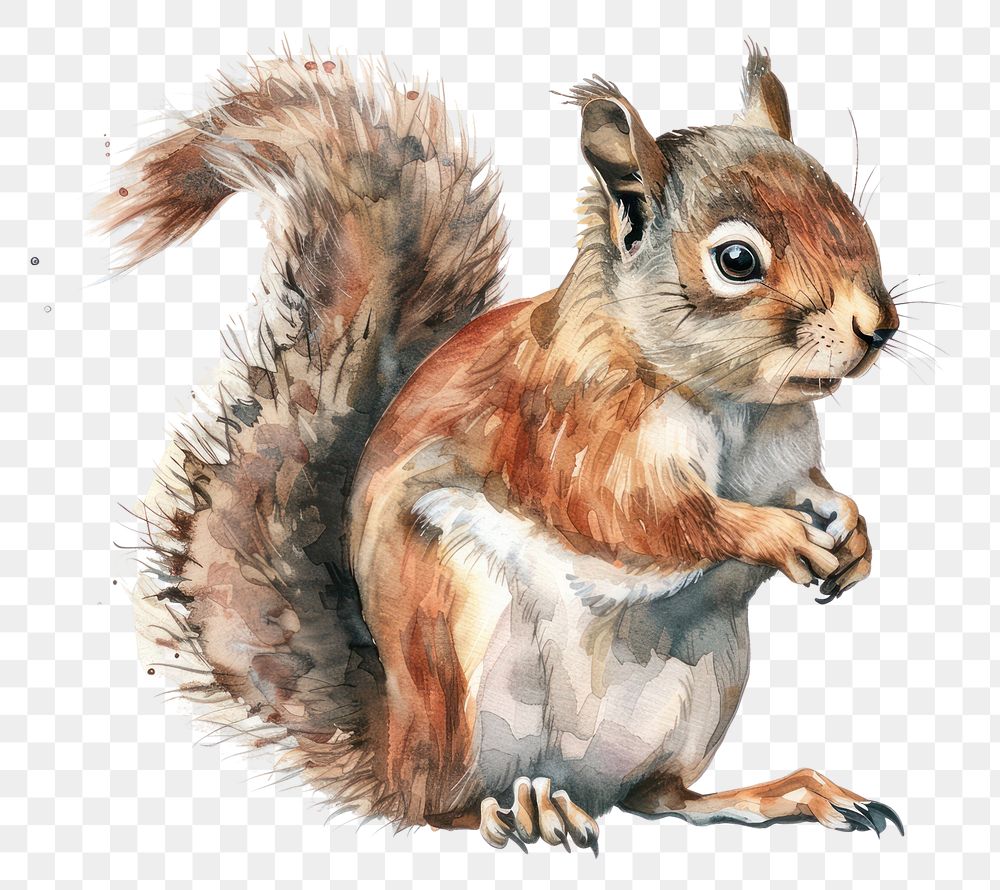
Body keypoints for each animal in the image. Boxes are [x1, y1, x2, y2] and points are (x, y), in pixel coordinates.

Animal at [97, 44, 904, 852]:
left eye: (849, 208)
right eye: (737, 260)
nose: (878, 326)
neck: (737, 406)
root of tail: (390, 744)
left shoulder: (781, 460)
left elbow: (807, 487)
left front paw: (853, 531)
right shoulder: (573, 433)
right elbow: (645, 516)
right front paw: (772, 535)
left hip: (704, 680)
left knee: (658, 795)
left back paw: (787, 794)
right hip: (458, 655)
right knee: (437, 805)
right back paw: (521, 809)